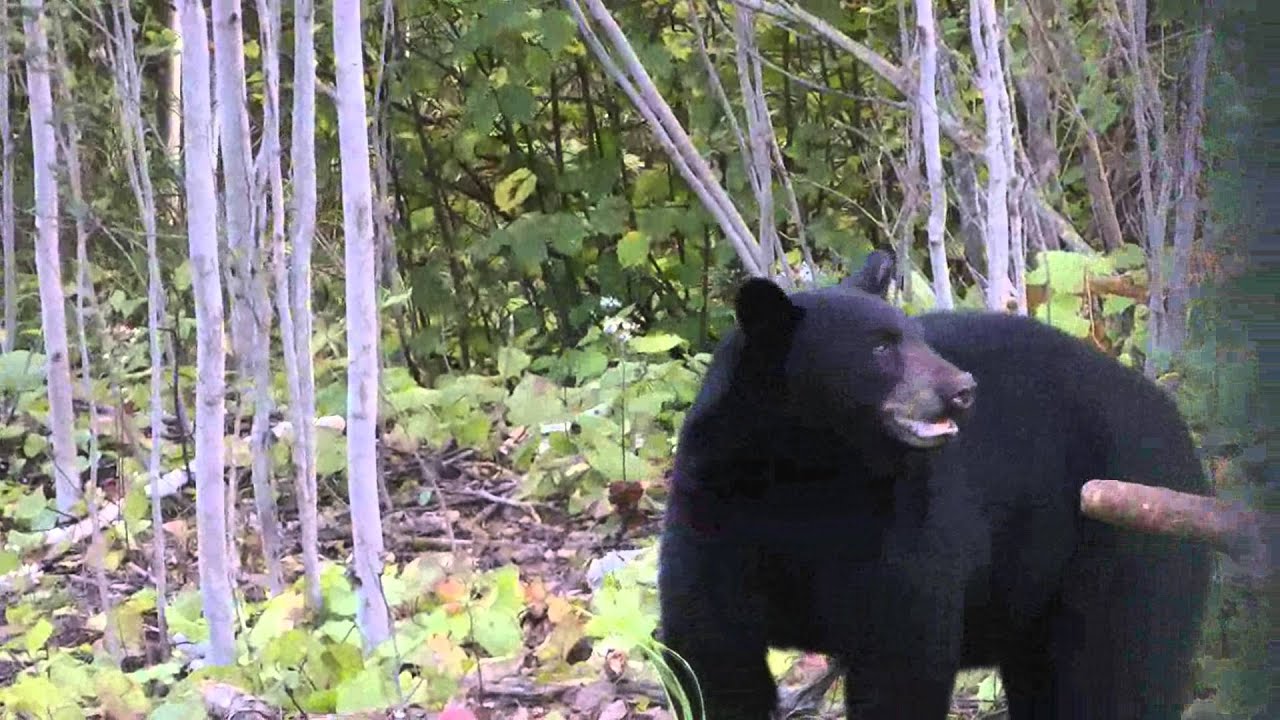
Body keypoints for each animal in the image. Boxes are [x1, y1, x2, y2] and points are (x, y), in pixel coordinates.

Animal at [657, 250, 1212, 719]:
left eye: (916, 337)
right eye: (881, 347)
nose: (962, 389)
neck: (809, 474)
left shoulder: (905, 526)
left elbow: (903, 661)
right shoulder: (712, 513)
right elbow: (714, 658)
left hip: (1127, 546)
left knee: (1122, 673)